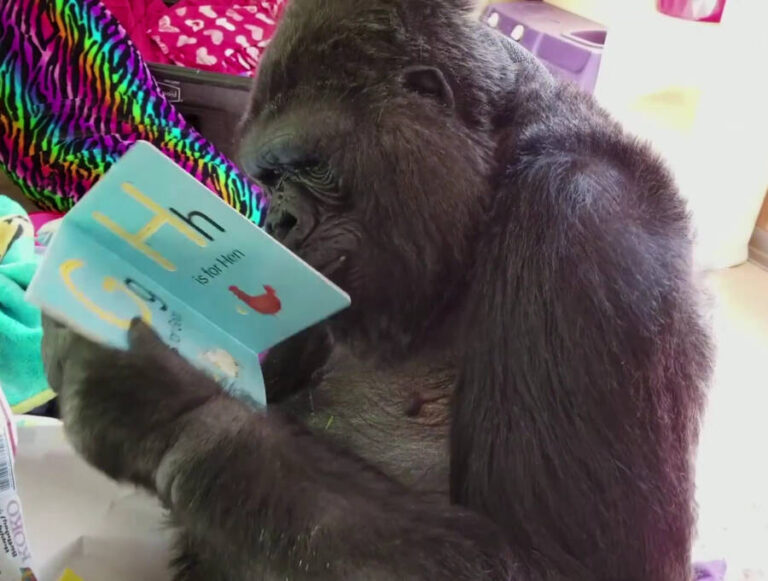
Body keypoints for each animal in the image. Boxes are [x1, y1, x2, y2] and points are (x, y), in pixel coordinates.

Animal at [40, 0, 713, 579]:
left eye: (309, 166)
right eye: (267, 179)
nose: (277, 221)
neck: (493, 180)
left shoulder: (590, 224)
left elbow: (563, 565)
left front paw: (169, 403)